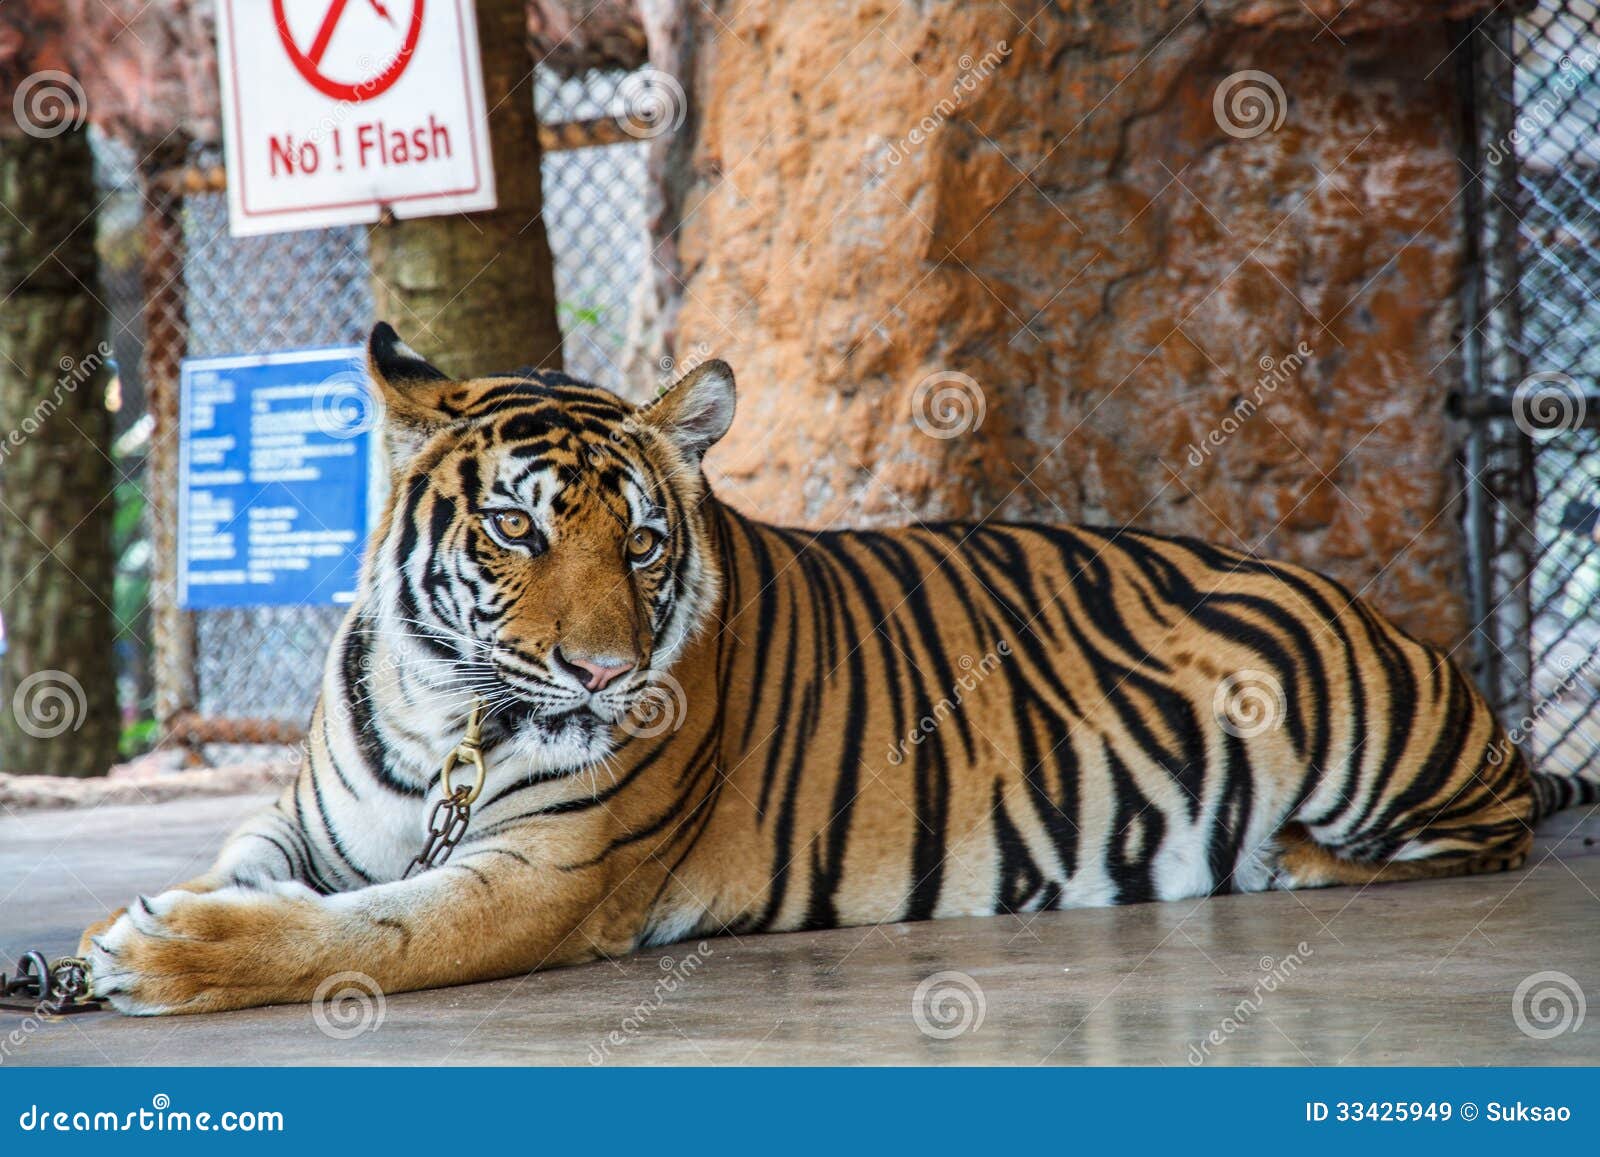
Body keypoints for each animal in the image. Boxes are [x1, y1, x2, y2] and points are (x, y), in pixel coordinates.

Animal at [82, 322, 1598, 1015]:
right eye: (517, 527)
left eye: (643, 541)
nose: (601, 675)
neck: (440, 704)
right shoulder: (308, 819)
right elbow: (260, 869)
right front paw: (117, 927)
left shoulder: (541, 878)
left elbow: (367, 931)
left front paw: (166, 953)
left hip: (1342, 714)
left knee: (1475, 835)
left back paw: (1290, 856)